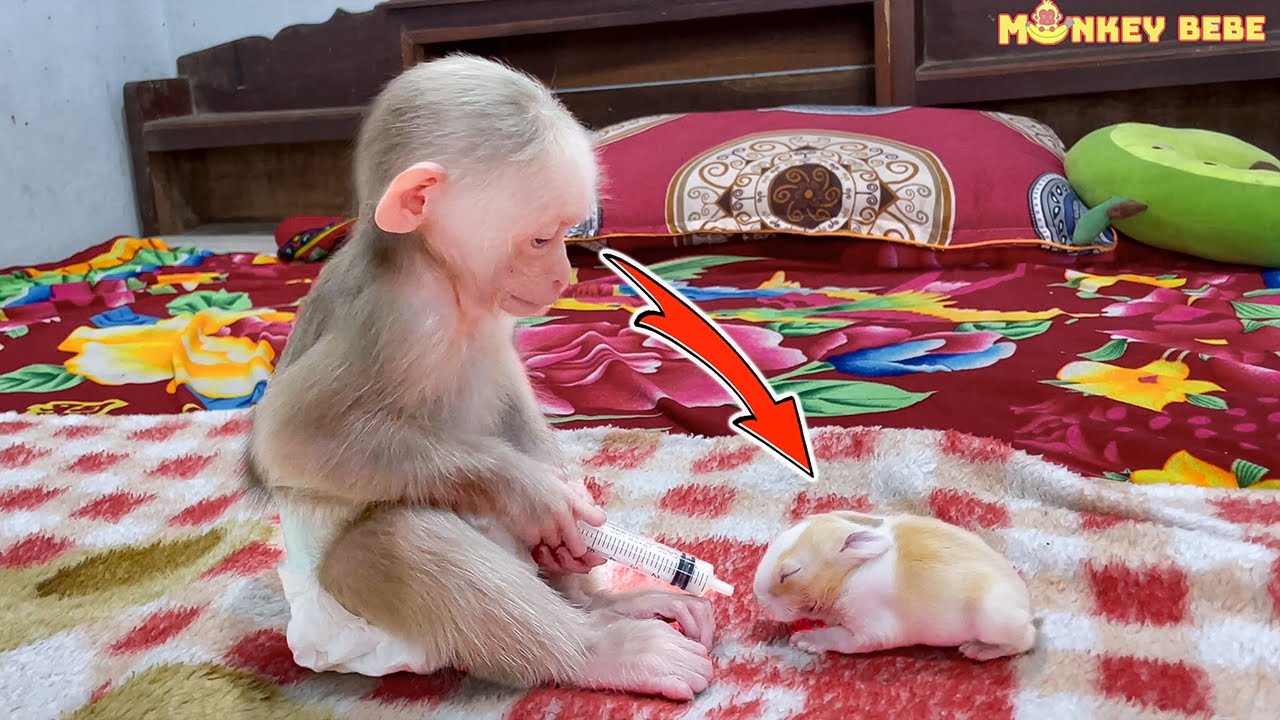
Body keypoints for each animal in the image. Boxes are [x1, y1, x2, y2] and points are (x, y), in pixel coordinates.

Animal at [243, 54, 716, 701]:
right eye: (543, 237)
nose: (565, 277)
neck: (441, 275)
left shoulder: (496, 314)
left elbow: (509, 393)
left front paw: (570, 530)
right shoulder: (399, 318)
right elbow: (294, 437)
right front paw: (538, 496)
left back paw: (603, 605)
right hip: (343, 626)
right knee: (398, 537)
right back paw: (605, 650)